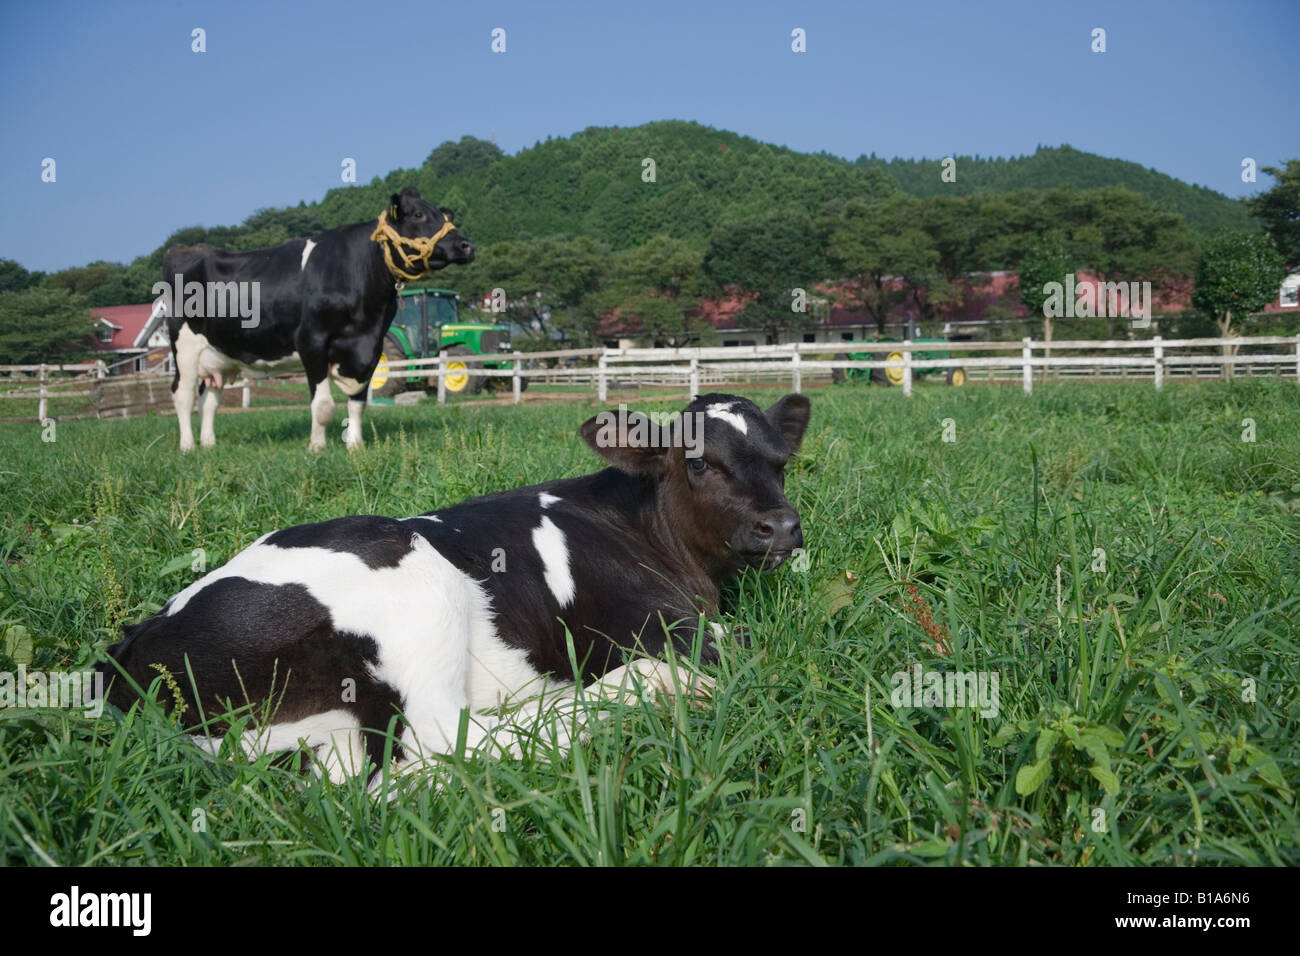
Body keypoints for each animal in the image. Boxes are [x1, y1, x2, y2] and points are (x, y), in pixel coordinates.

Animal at [97, 392, 811, 783]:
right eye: (700, 462)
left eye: (782, 460)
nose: (781, 526)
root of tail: (129, 648)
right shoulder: (654, 624)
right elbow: (742, 646)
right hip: (416, 587)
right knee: (452, 741)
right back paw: (638, 690)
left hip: (316, 731)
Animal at [146, 187, 474, 452]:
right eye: (419, 214)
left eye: (442, 214)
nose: (467, 245)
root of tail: (184, 249)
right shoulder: (311, 342)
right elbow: (324, 406)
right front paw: (316, 447)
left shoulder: (371, 347)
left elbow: (358, 404)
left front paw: (355, 445)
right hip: (185, 349)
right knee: (182, 394)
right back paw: (188, 446)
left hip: (218, 354)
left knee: (209, 398)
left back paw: (208, 444)